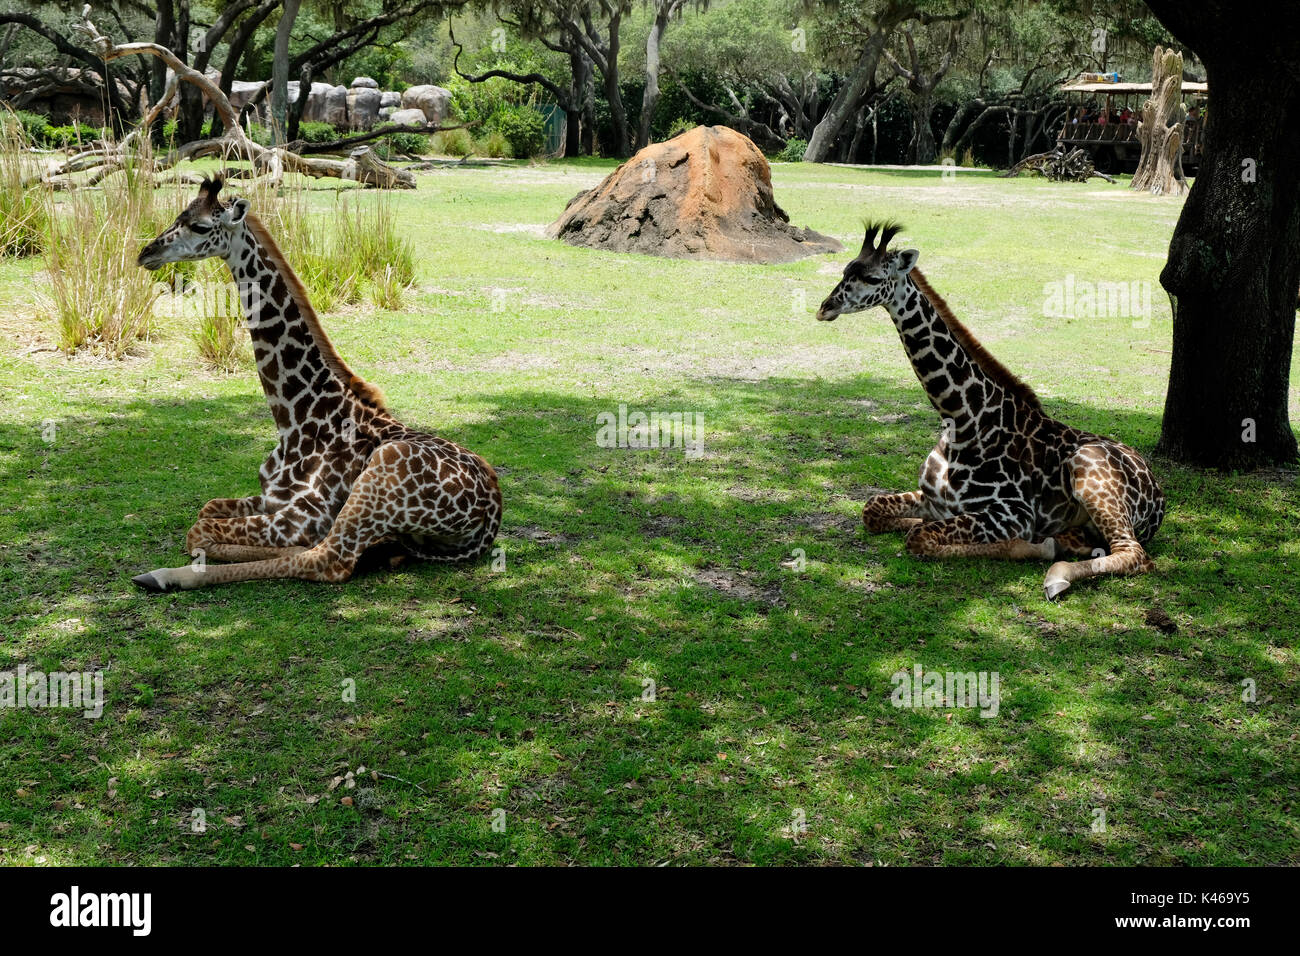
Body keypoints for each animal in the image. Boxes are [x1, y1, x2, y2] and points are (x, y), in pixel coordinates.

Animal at [131, 177, 502, 592]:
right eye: (179, 215)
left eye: (199, 226)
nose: (146, 253)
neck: (295, 417)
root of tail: (490, 520)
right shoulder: (271, 499)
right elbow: (205, 514)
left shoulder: (302, 515)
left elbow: (200, 530)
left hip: (380, 478)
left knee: (328, 559)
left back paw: (164, 576)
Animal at [816, 221, 1165, 600]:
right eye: (846, 270)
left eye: (873, 278)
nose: (824, 308)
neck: (964, 419)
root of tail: (1159, 496)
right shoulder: (934, 500)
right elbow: (873, 509)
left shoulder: (1012, 513)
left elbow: (919, 538)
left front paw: (1036, 547)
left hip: (1090, 471)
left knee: (1135, 555)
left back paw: (1057, 573)